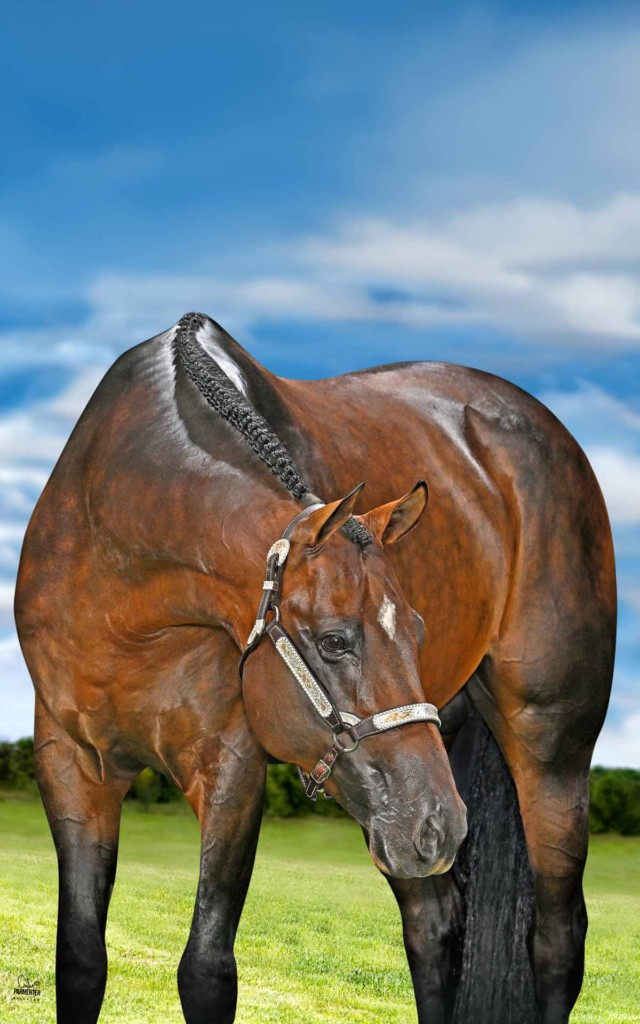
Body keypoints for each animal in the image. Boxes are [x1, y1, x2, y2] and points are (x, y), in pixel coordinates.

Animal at [15, 311, 615, 1024]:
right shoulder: (71, 764)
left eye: (416, 630)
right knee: (434, 925)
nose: (441, 824)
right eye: (334, 642)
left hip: (543, 752)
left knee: (556, 939)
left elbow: (206, 971)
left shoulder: (231, 766)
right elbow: (81, 960)